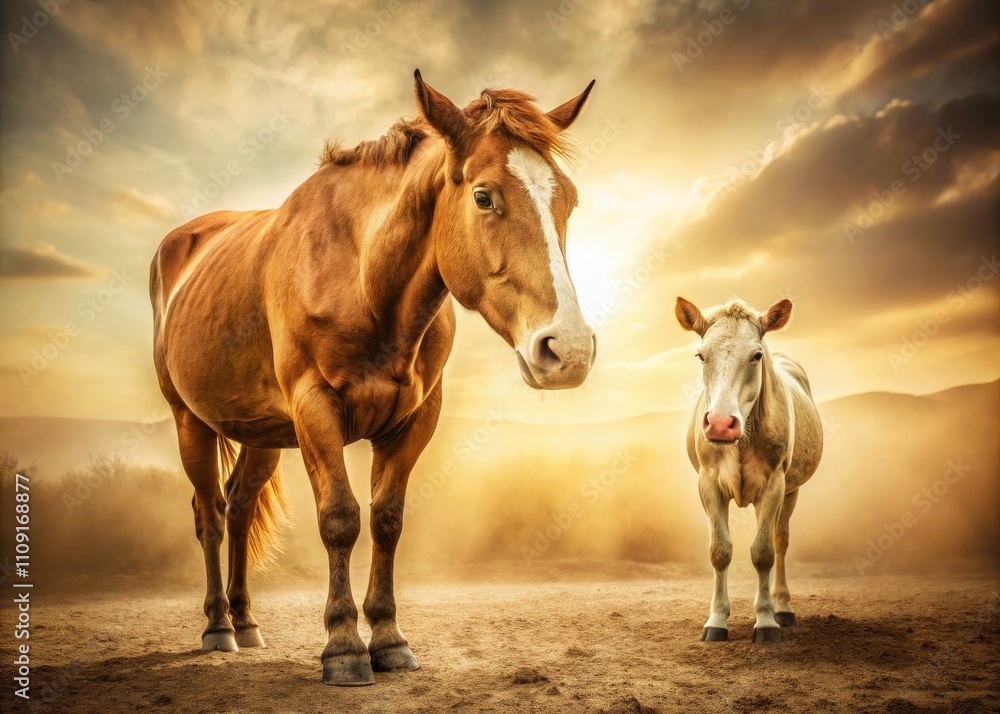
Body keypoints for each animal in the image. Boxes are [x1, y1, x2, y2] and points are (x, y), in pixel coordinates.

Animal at [150, 71, 598, 686]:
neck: (360, 275)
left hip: (263, 435)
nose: (569, 349)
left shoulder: (413, 421)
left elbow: (387, 520)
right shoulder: (316, 411)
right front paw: (342, 647)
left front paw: (387, 638)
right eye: (484, 196)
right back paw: (218, 627)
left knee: (238, 510)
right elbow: (339, 519)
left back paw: (245, 622)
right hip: (190, 421)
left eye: (569, 201)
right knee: (211, 516)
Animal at [675, 297, 823, 643]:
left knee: (780, 541)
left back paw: (782, 607)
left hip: (791, 490)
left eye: (756, 355)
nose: (720, 424)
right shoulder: (708, 484)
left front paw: (766, 622)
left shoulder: (773, 485)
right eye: (701, 355)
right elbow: (720, 551)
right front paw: (716, 621)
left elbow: (763, 552)